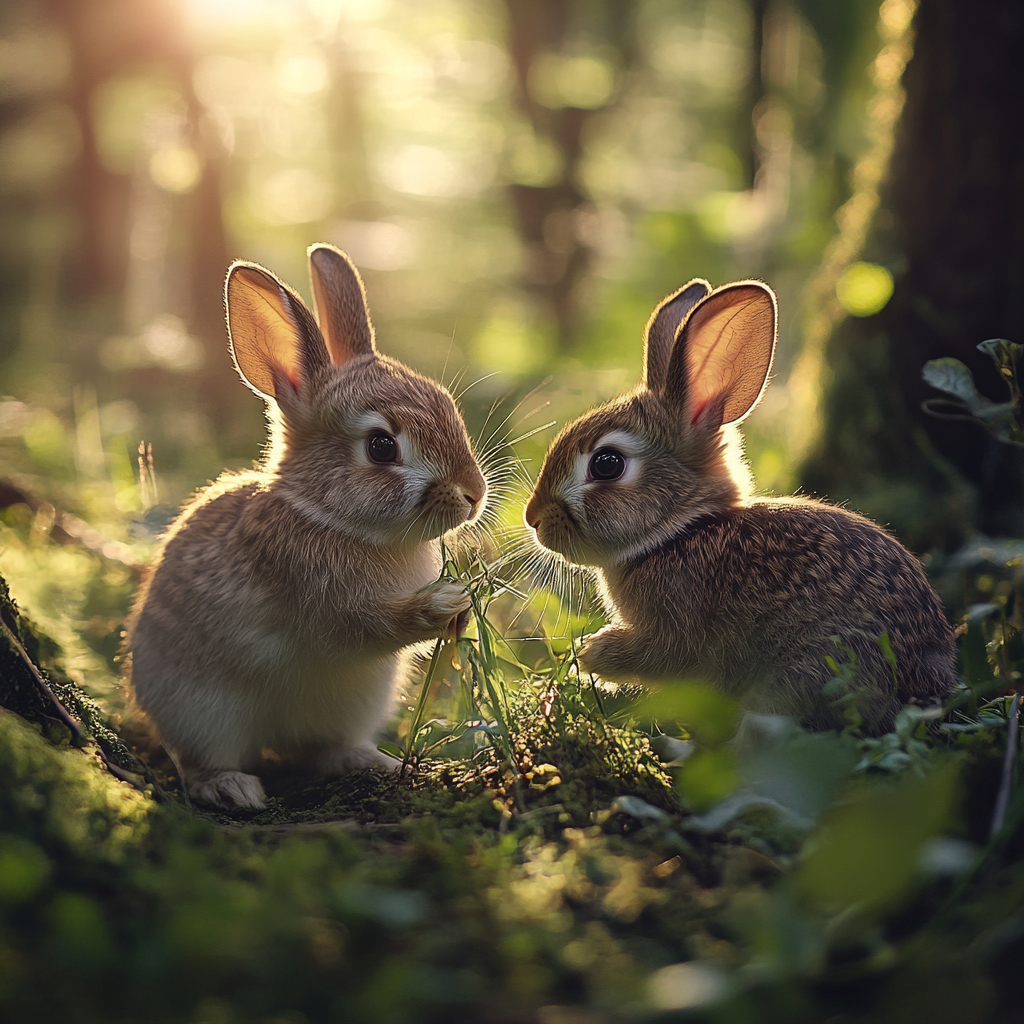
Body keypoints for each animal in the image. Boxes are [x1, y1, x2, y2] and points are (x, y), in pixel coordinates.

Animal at [127, 244, 486, 808]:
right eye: (382, 446)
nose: (474, 494)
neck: (328, 516)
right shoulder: (320, 596)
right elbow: (370, 625)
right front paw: (444, 603)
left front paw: (463, 610)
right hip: (200, 710)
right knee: (199, 759)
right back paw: (231, 788)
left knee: (321, 750)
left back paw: (368, 761)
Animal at [524, 278, 956, 734]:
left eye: (607, 464)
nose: (533, 519)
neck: (680, 534)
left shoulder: (677, 627)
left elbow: (658, 658)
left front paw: (589, 653)